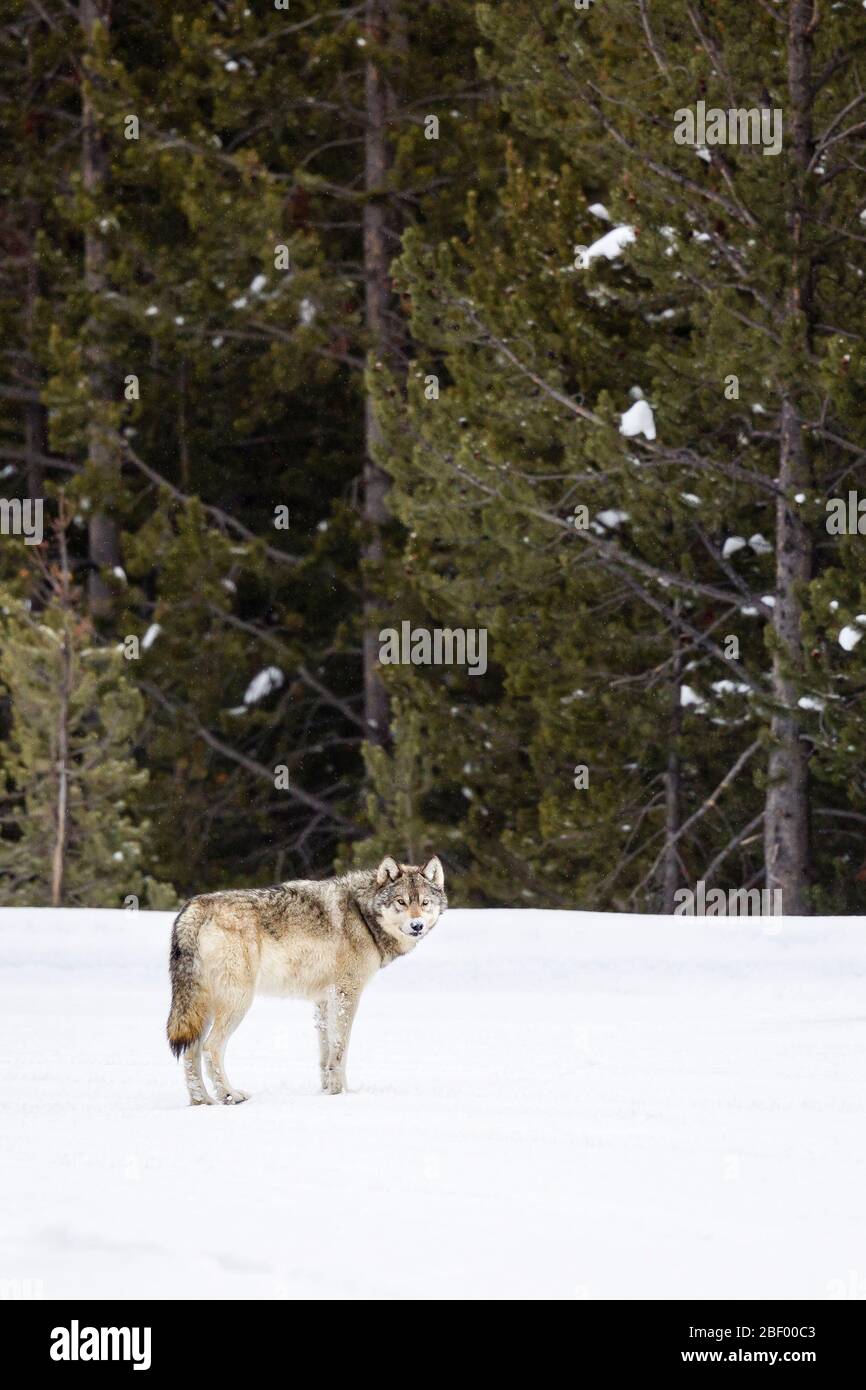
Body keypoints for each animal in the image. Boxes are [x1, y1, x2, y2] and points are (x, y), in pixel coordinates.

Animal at [167, 855, 446, 1104]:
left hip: (202, 1008)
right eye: (401, 902)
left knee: (189, 1053)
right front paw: (341, 1095)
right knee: (210, 1048)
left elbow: (326, 1054)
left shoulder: (323, 1000)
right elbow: (340, 1050)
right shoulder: (347, 993)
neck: (362, 916)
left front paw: (327, 1091)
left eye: (424, 902)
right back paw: (229, 1096)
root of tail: (195, 906)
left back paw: (201, 1101)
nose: (417, 925)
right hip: (237, 1002)